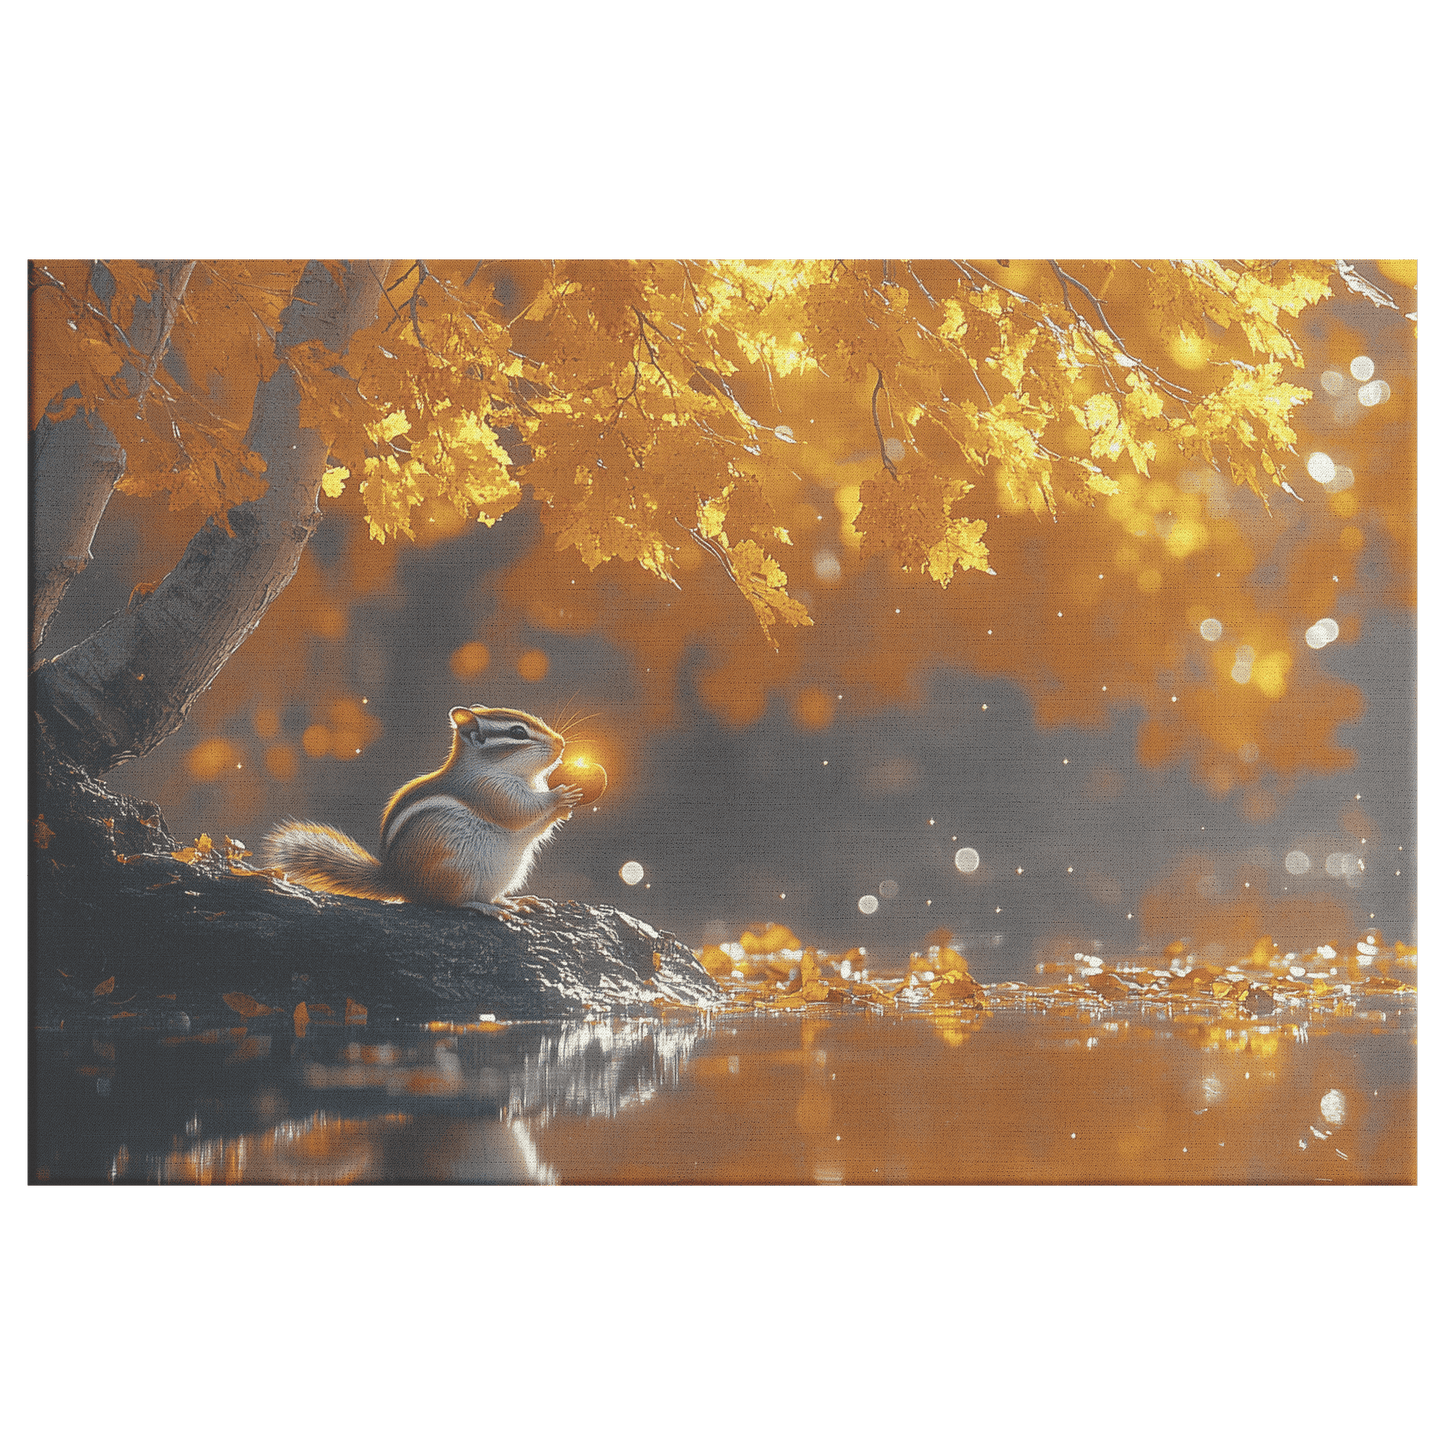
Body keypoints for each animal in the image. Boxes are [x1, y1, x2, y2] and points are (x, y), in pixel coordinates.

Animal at [260, 705, 584, 923]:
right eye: (517, 732)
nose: (561, 743)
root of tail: (398, 882)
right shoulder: (489, 790)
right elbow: (520, 811)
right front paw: (560, 796)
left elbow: (534, 826)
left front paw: (565, 806)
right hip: (455, 871)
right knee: (448, 901)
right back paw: (488, 908)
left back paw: (513, 900)